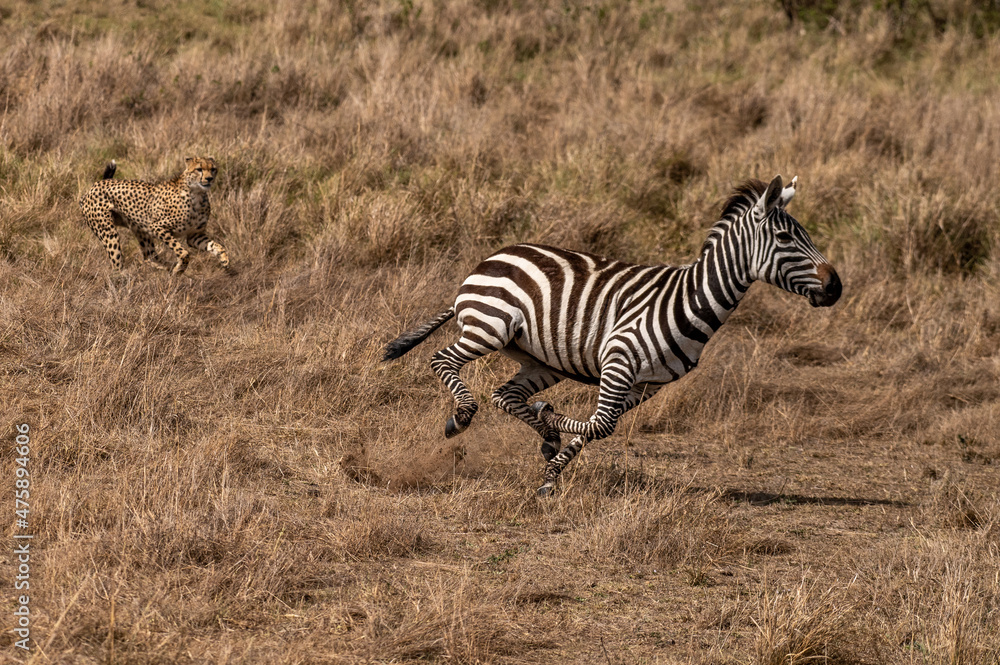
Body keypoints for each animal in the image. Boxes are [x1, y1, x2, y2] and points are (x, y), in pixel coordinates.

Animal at [383, 175, 842, 496]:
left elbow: (597, 428)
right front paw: (550, 421)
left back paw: (545, 435)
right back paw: (462, 417)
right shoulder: (619, 360)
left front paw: (551, 472)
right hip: (489, 326)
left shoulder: (647, 384)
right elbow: (600, 424)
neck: (692, 300)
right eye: (785, 237)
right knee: (443, 360)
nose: (836, 287)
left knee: (505, 394)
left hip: (541, 359)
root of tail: (492, 256)